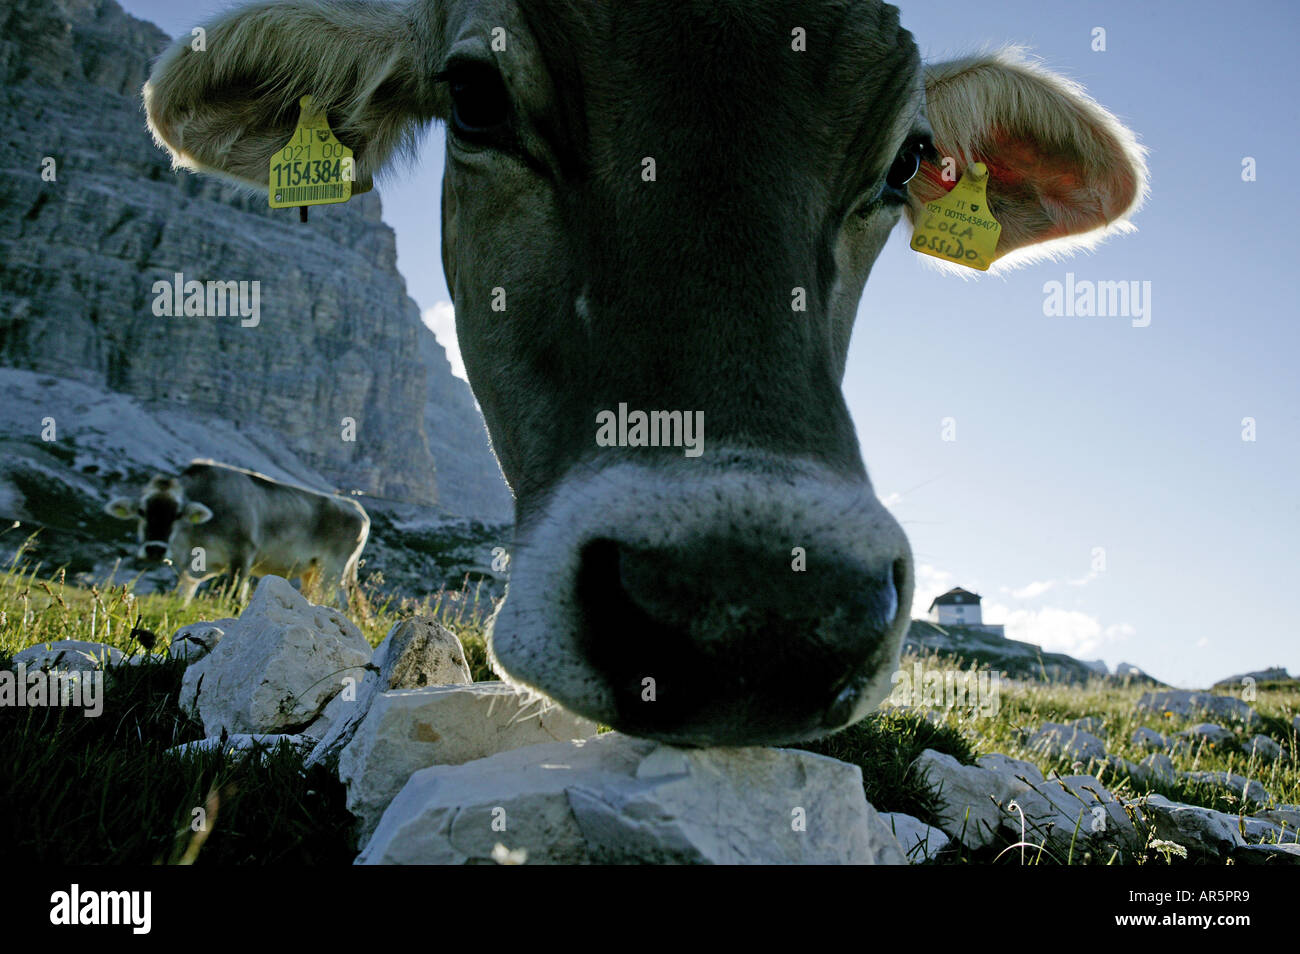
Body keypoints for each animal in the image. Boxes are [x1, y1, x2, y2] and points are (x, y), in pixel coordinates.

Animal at [105, 460, 369, 610]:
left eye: (178, 514)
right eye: (142, 511)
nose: (155, 549)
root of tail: (357, 508)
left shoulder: (242, 552)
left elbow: (234, 597)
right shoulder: (188, 567)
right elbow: (183, 596)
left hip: (333, 569)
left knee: (336, 602)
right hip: (312, 572)